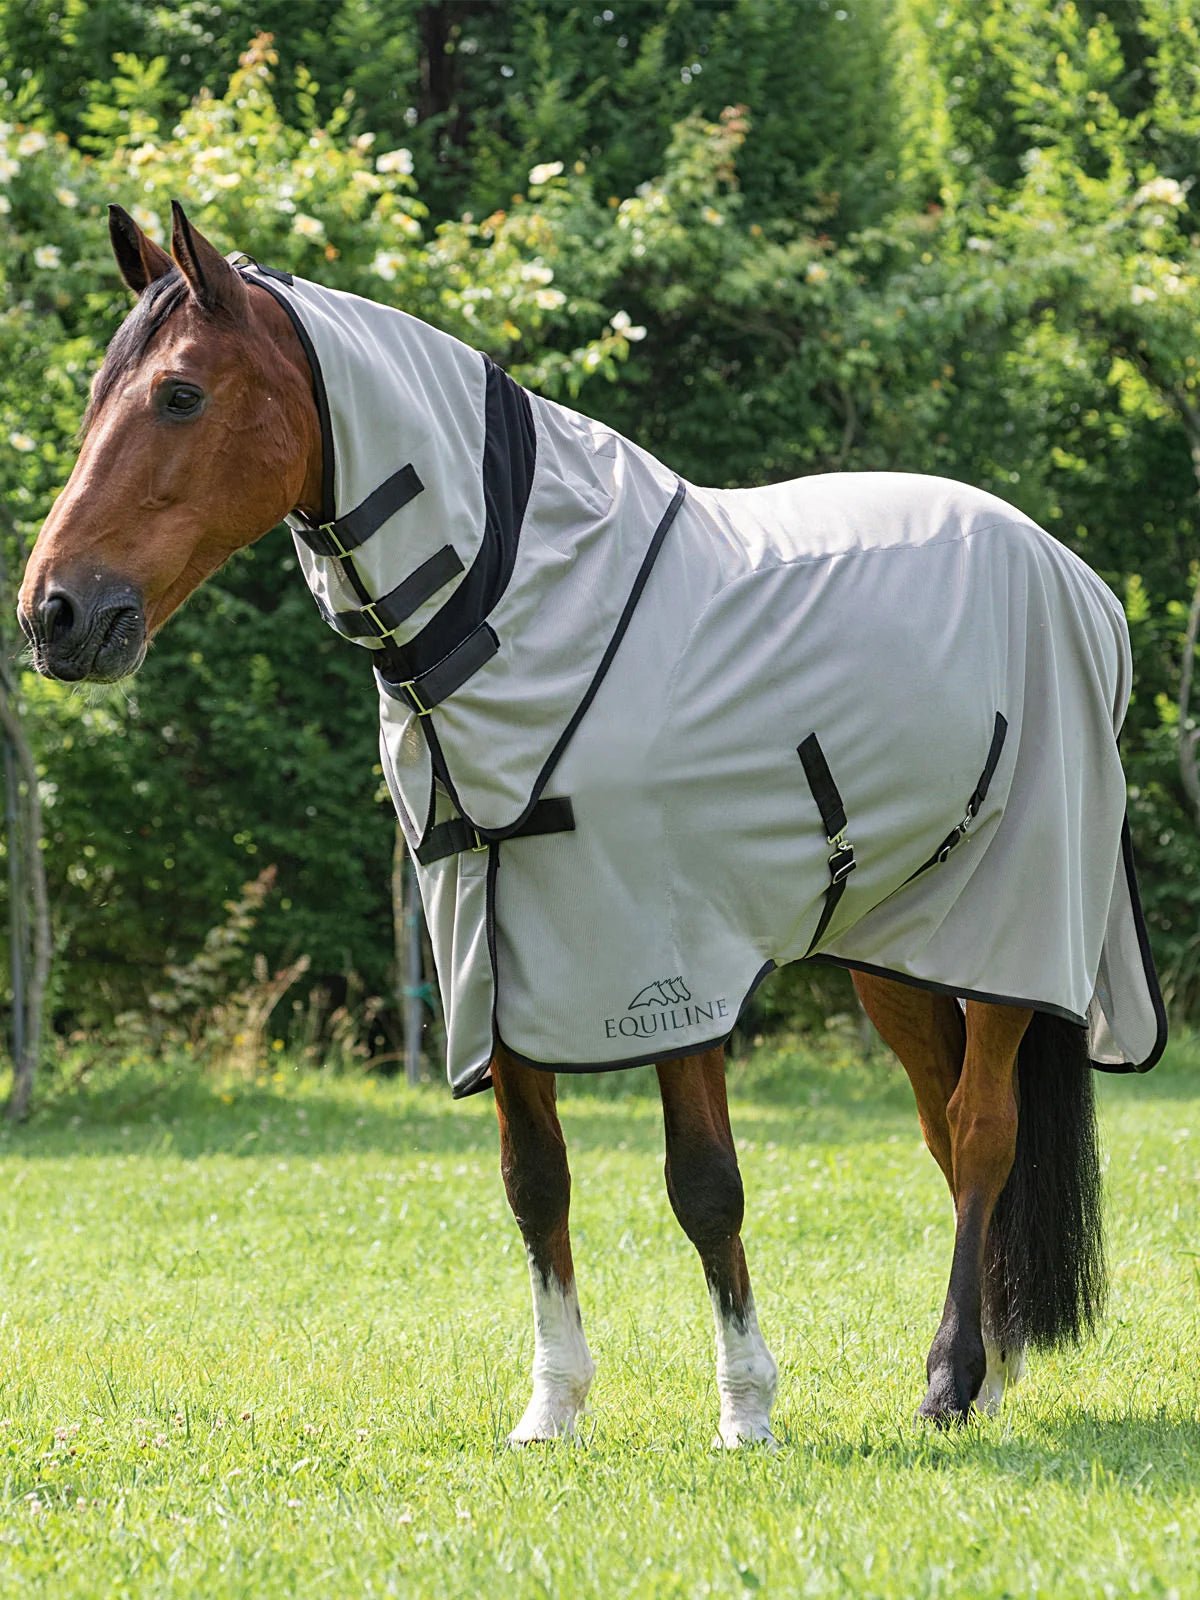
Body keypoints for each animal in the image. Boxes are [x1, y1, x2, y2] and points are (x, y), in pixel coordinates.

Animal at [18, 203, 1165, 1444]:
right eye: (96, 393)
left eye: (179, 394)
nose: (55, 613)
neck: (512, 607)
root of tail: (1072, 577)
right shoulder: (495, 954)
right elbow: (536, 1183)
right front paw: (553, 1406)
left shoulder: (672, 963)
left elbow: (706, 1184)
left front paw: (746, 1410)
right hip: (899, 949)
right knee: (949, 1134)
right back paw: (990, 1367)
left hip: (1013, 930)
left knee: (987, 1126)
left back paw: (951, 1377)